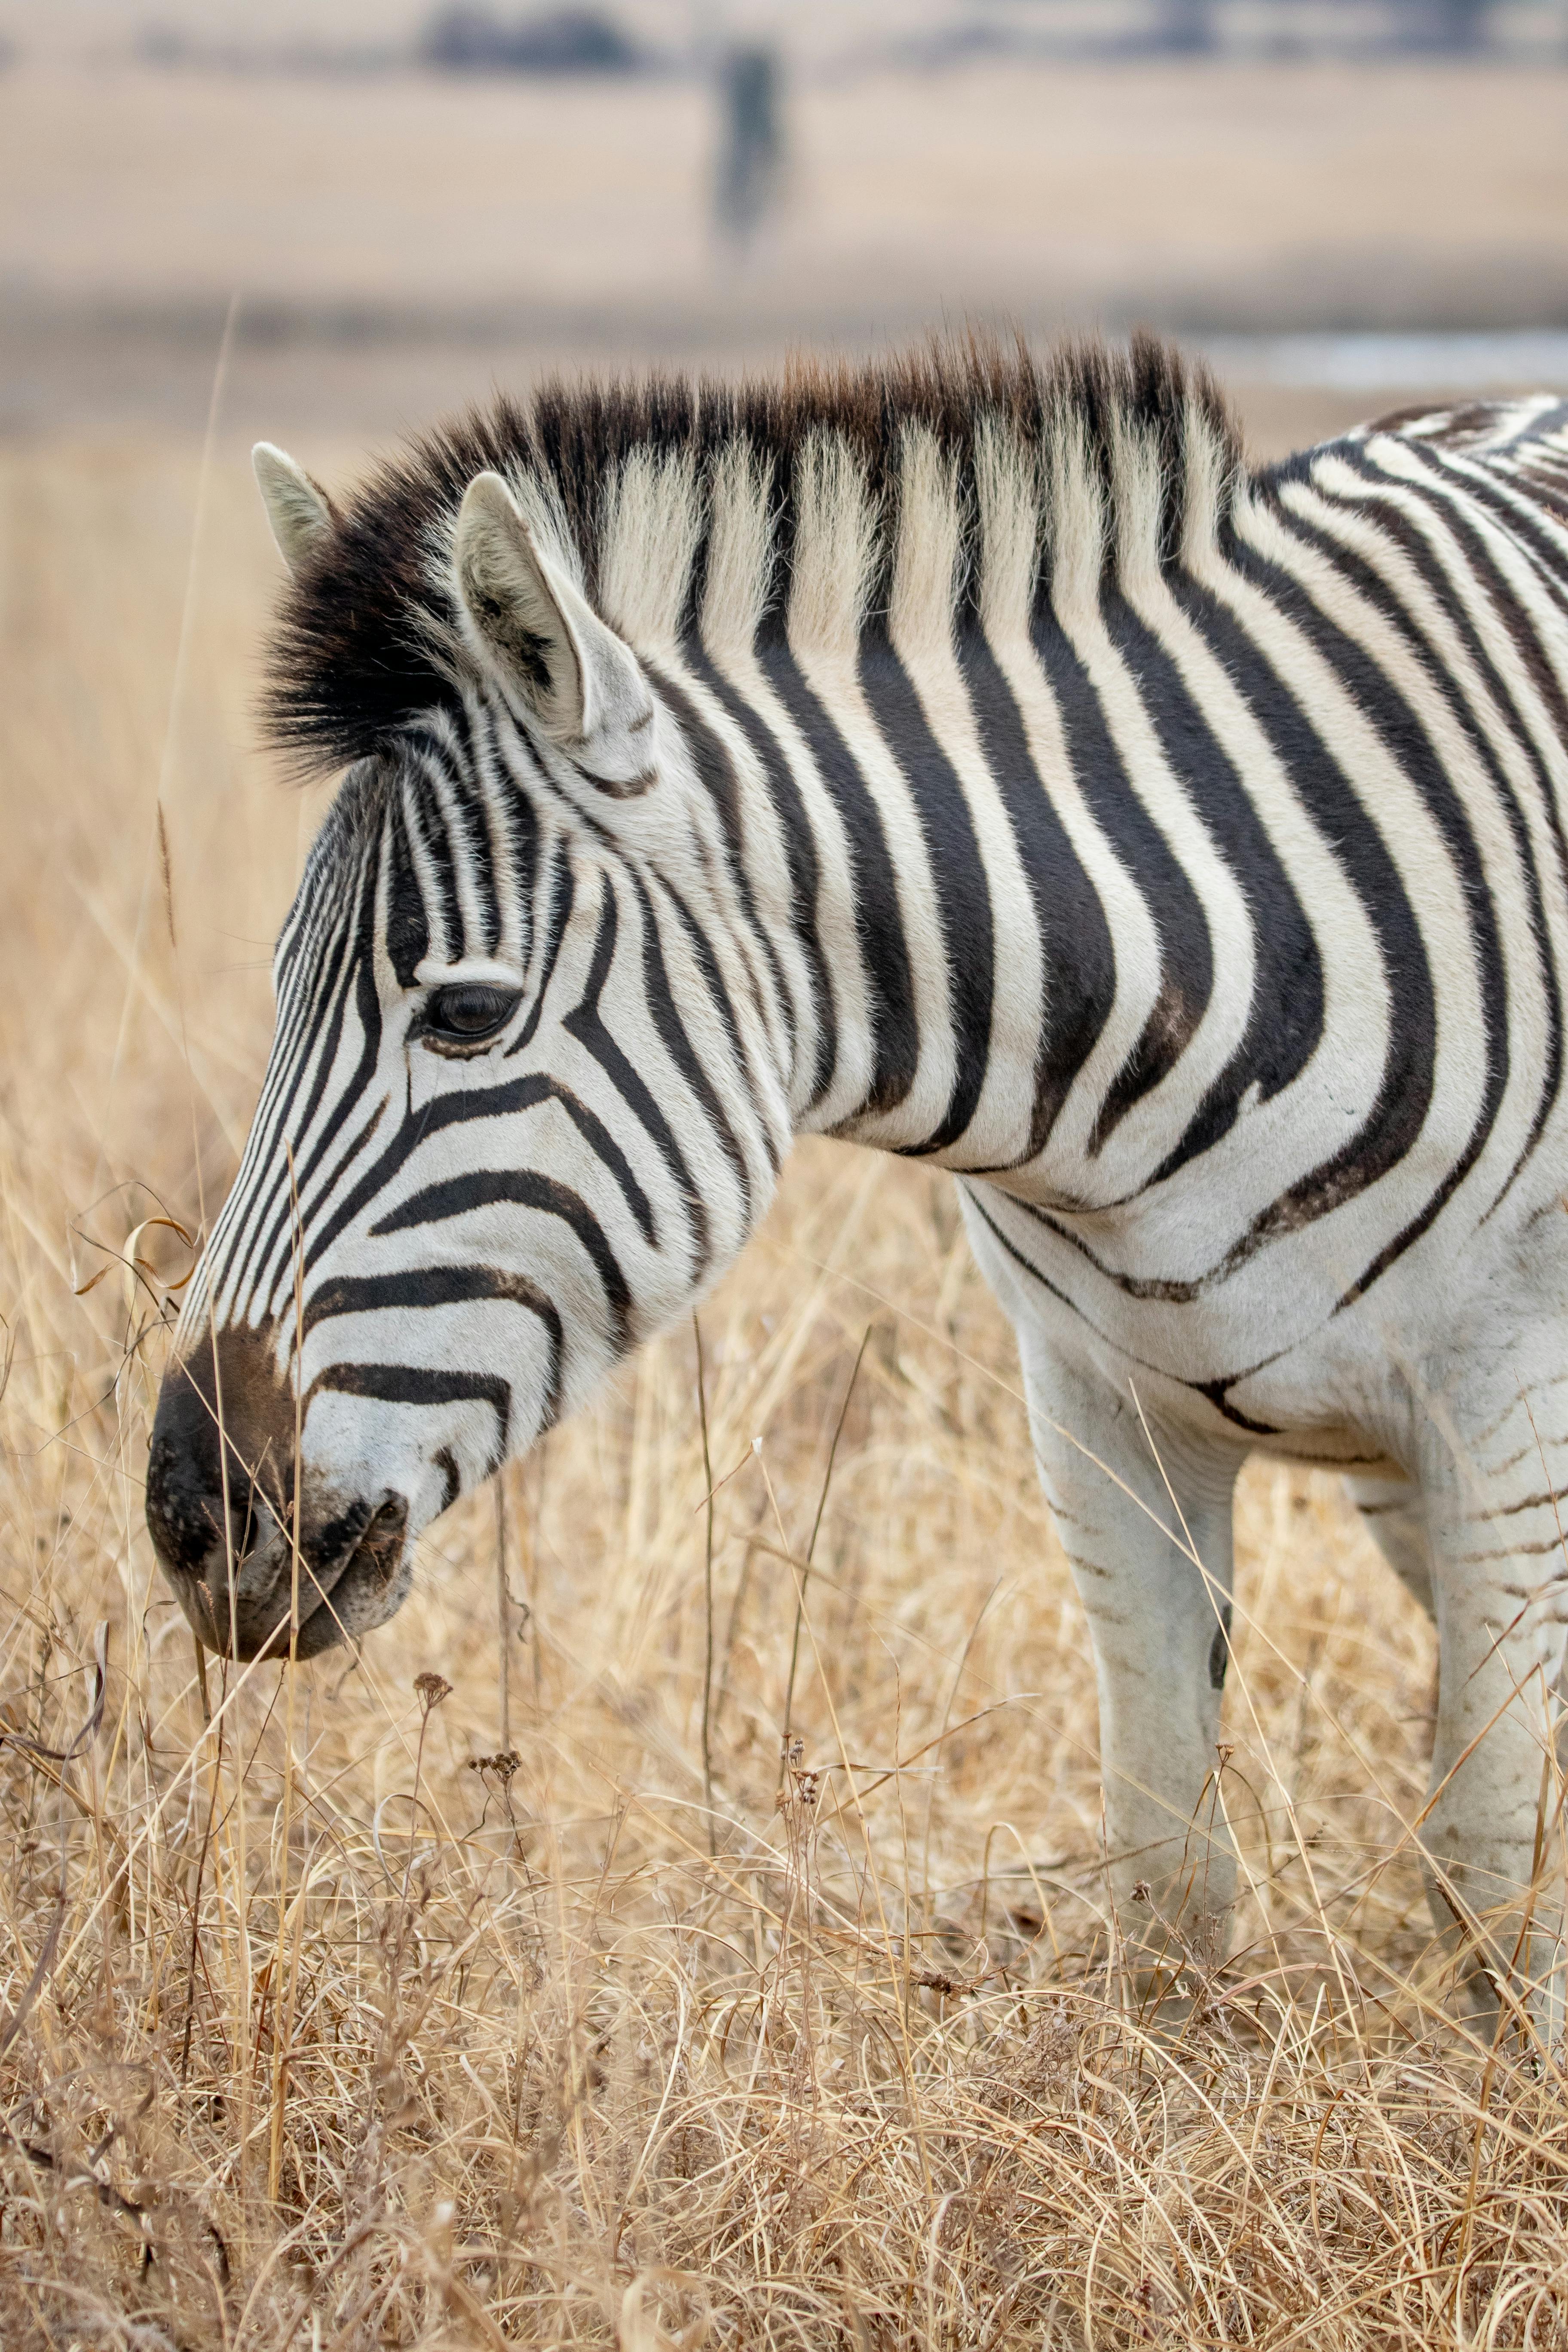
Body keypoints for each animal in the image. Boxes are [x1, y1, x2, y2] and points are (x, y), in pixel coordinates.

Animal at [145, 335, 1568, 2028]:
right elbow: (1167, 1885)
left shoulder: (1504, 1415)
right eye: (278, 999)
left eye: (467, 1015)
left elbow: (1486, 1889)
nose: (191, 1518)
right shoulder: (1095, 1414)